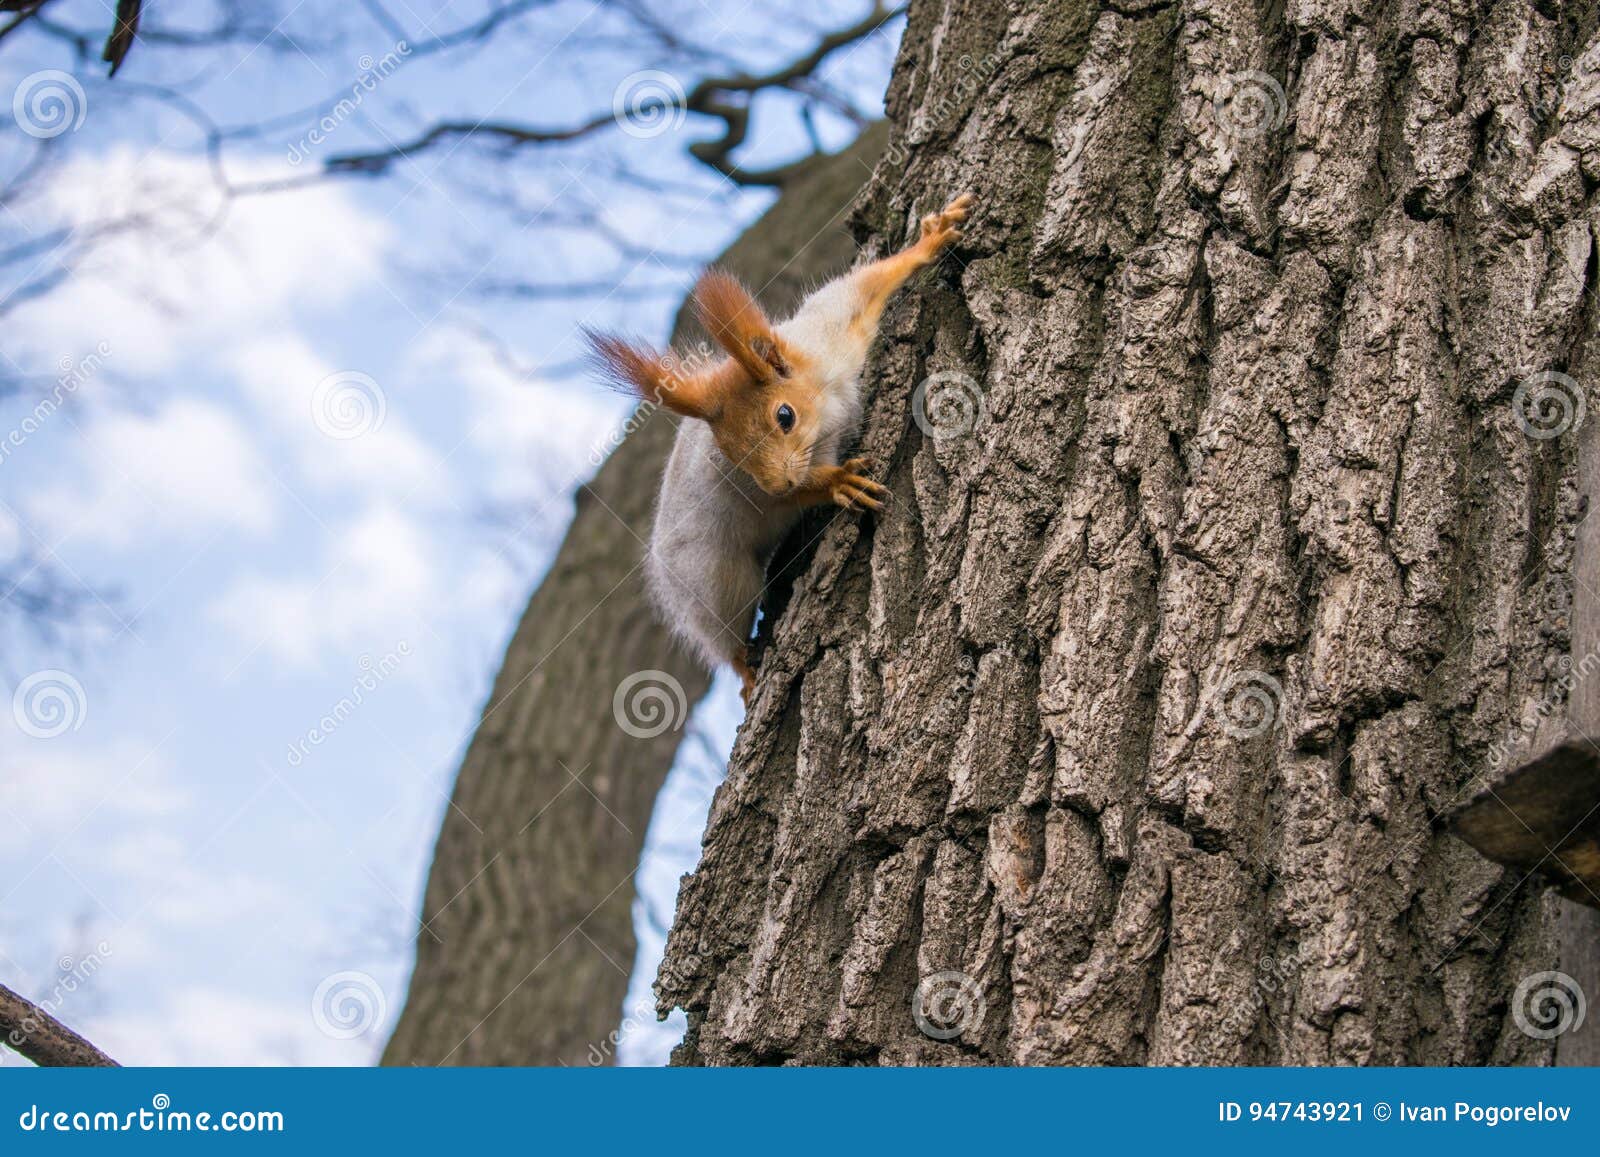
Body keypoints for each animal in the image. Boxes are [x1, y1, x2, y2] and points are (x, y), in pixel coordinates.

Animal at [584, 192, 974, 704]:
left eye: (784, 416)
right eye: (729, 453)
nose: (779, 480)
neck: (826, 406)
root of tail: (665, 574)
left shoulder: (832, 332)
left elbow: (867, 285)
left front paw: (931, 239)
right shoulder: (756, 488)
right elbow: (795, 494)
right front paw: (838, 482)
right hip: (714, 578)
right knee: (722, 635)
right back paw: (742, 667)